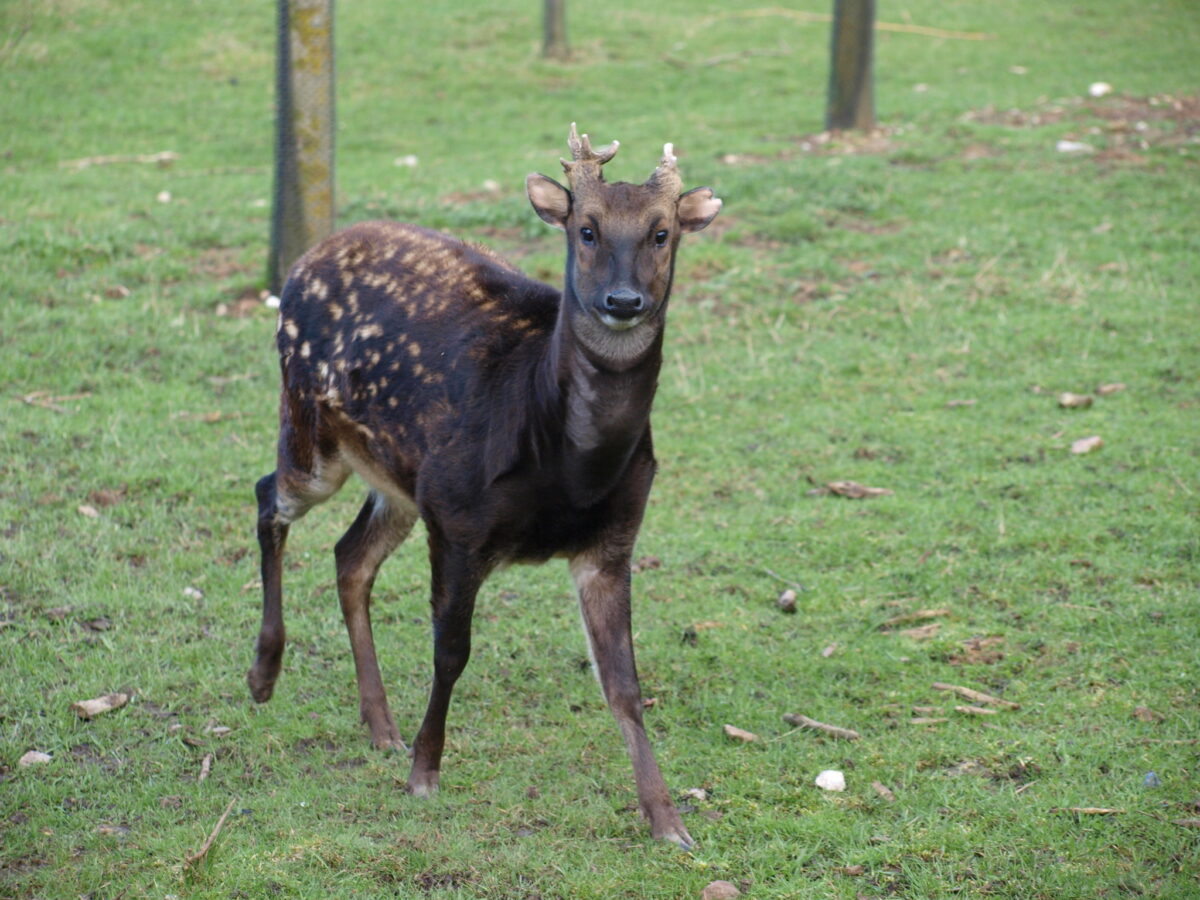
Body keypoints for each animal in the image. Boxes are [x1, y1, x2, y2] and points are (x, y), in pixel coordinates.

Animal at [248, 124, 721, 849]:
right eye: (586, 229)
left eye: (662, 232)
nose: (622, 302)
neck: (570, 466)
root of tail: (302, 264)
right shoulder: (459, 517)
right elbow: (452, 652)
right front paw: (424, 772)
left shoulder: (612, 540)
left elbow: (624, 684)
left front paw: (668, 821)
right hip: (309, 427)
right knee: (267, 495)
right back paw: (263, 676)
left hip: (399, 479)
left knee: (349, 554)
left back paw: (379, 724)